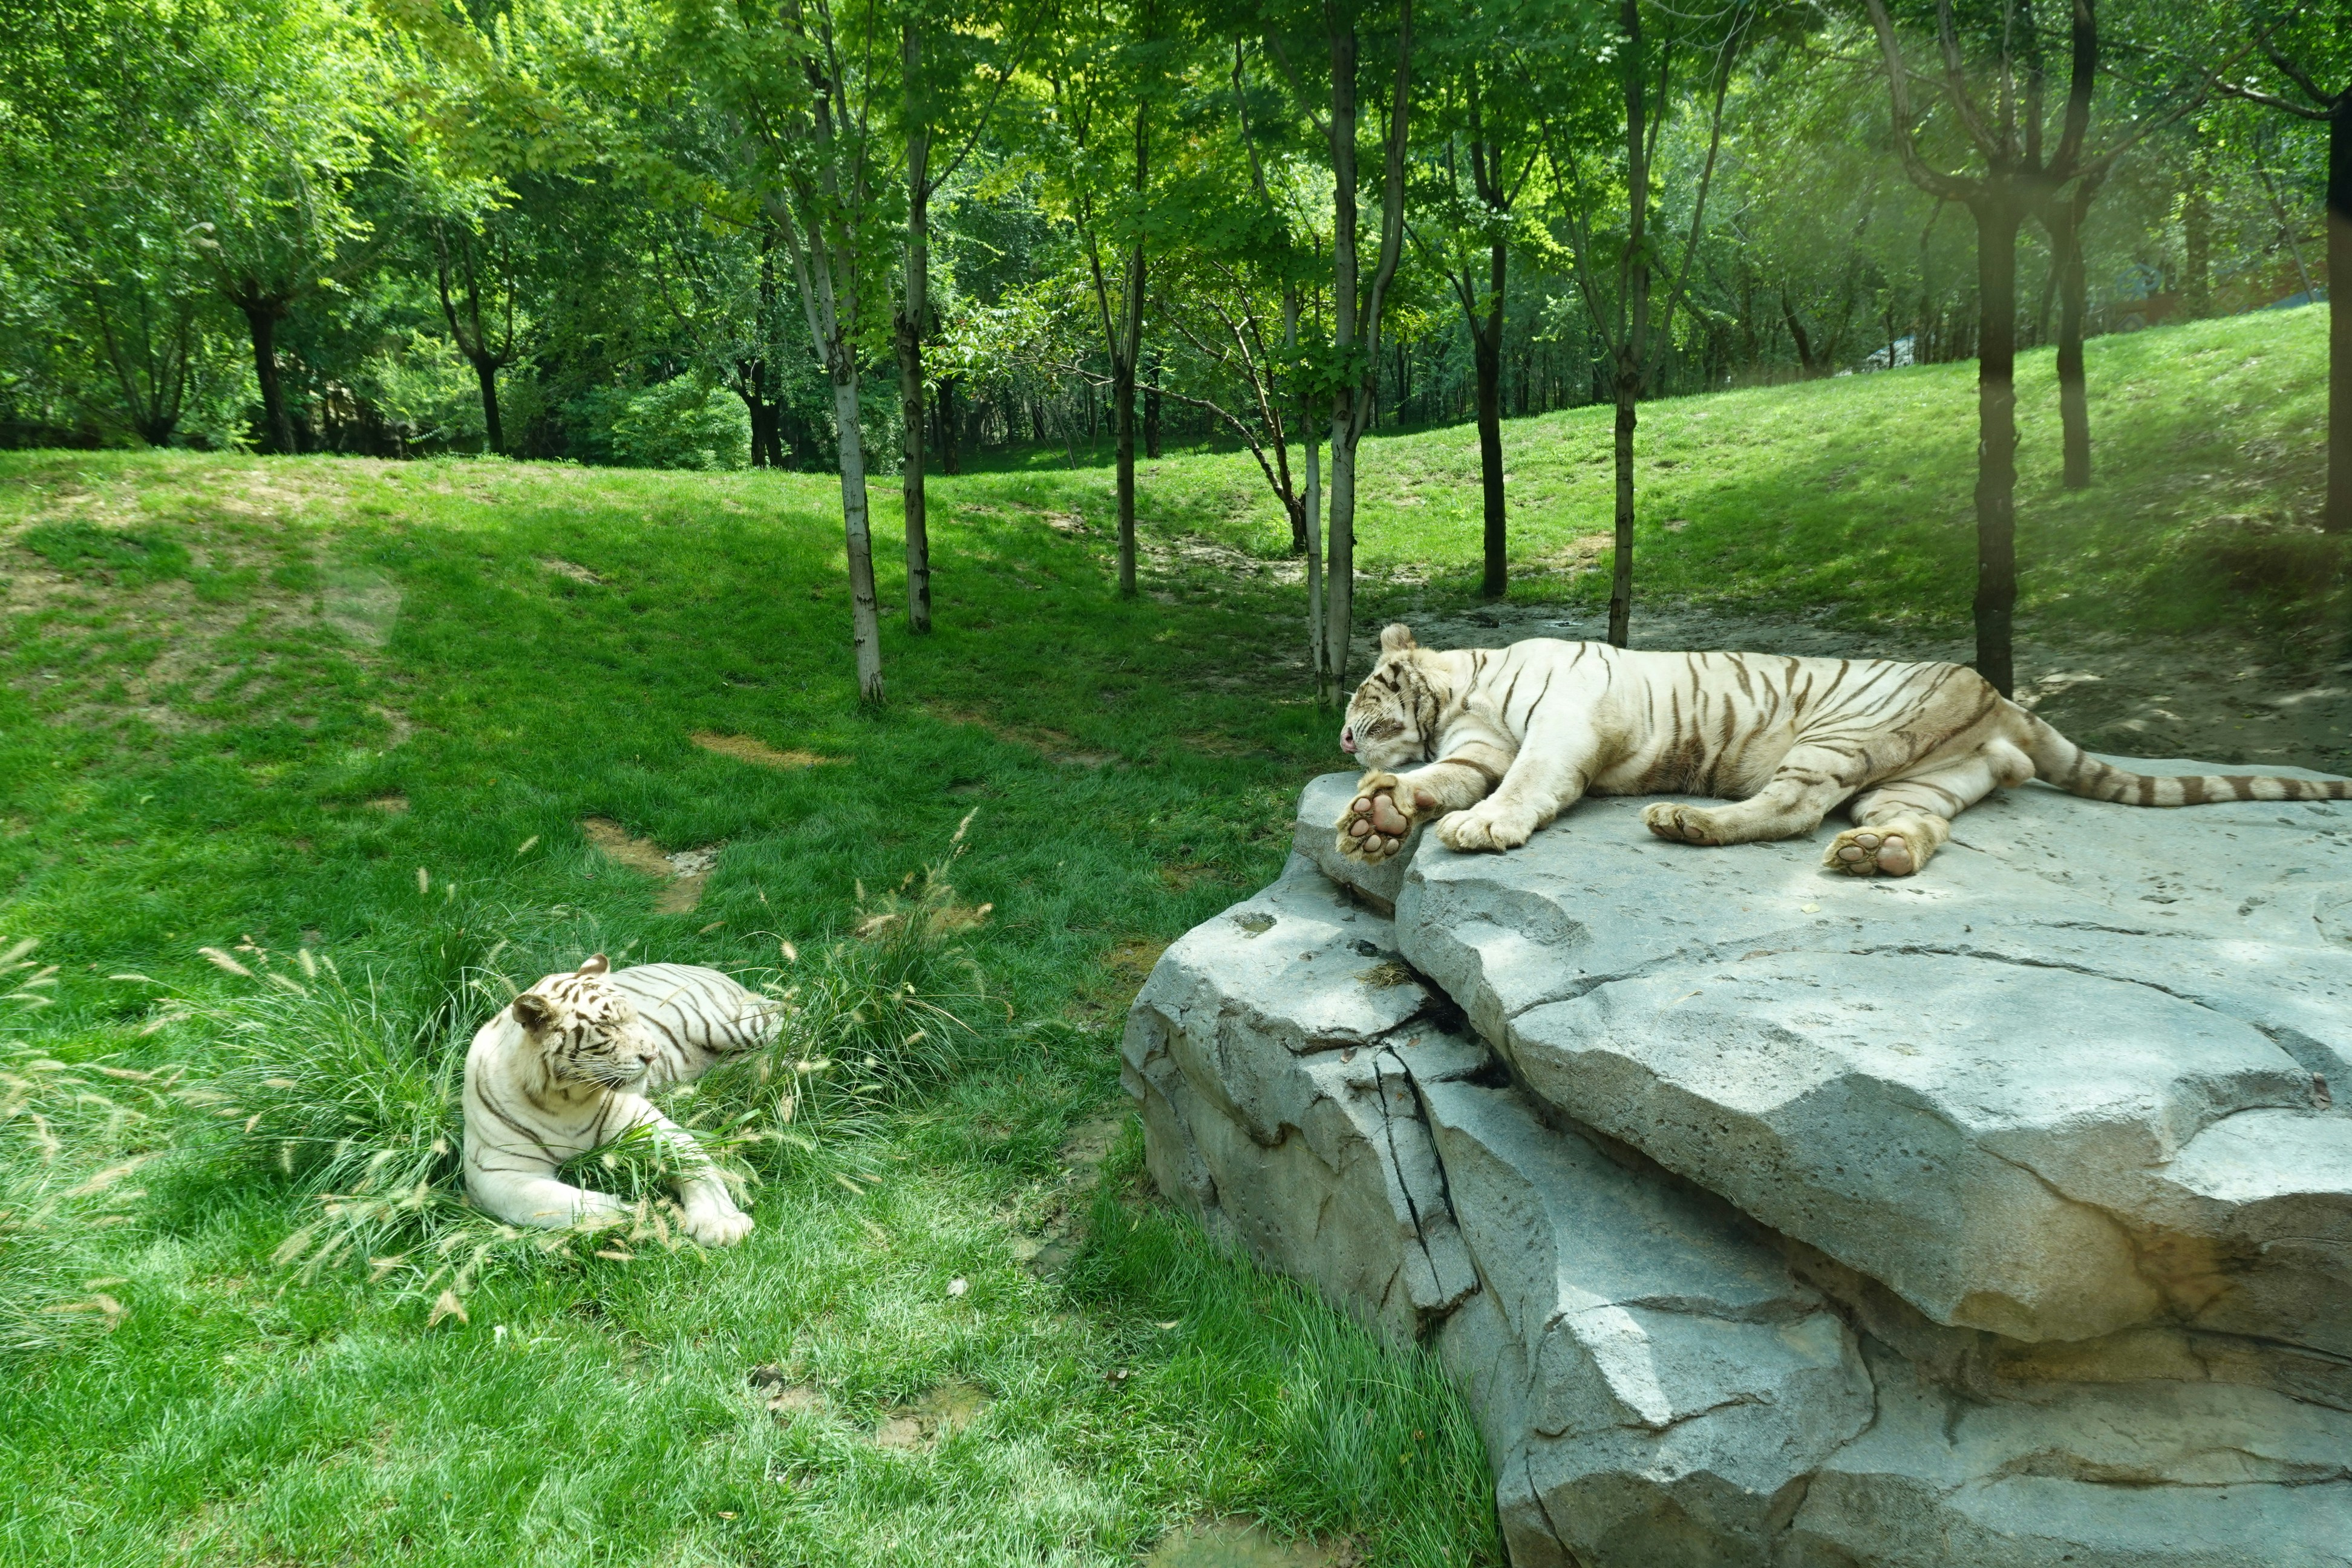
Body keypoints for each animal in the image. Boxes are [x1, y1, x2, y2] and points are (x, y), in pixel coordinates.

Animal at [463, 955, 780, 1246]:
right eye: (608, 1027)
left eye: (636, 1018)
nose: (653, 1055)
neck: (564, 1099)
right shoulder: (496, 1171)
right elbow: (563, 1202)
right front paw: (636, 1213)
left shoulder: (650, 1126)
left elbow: (696, 1165)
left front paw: (721, 1223)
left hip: (728, 1024)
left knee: (787, 1020)